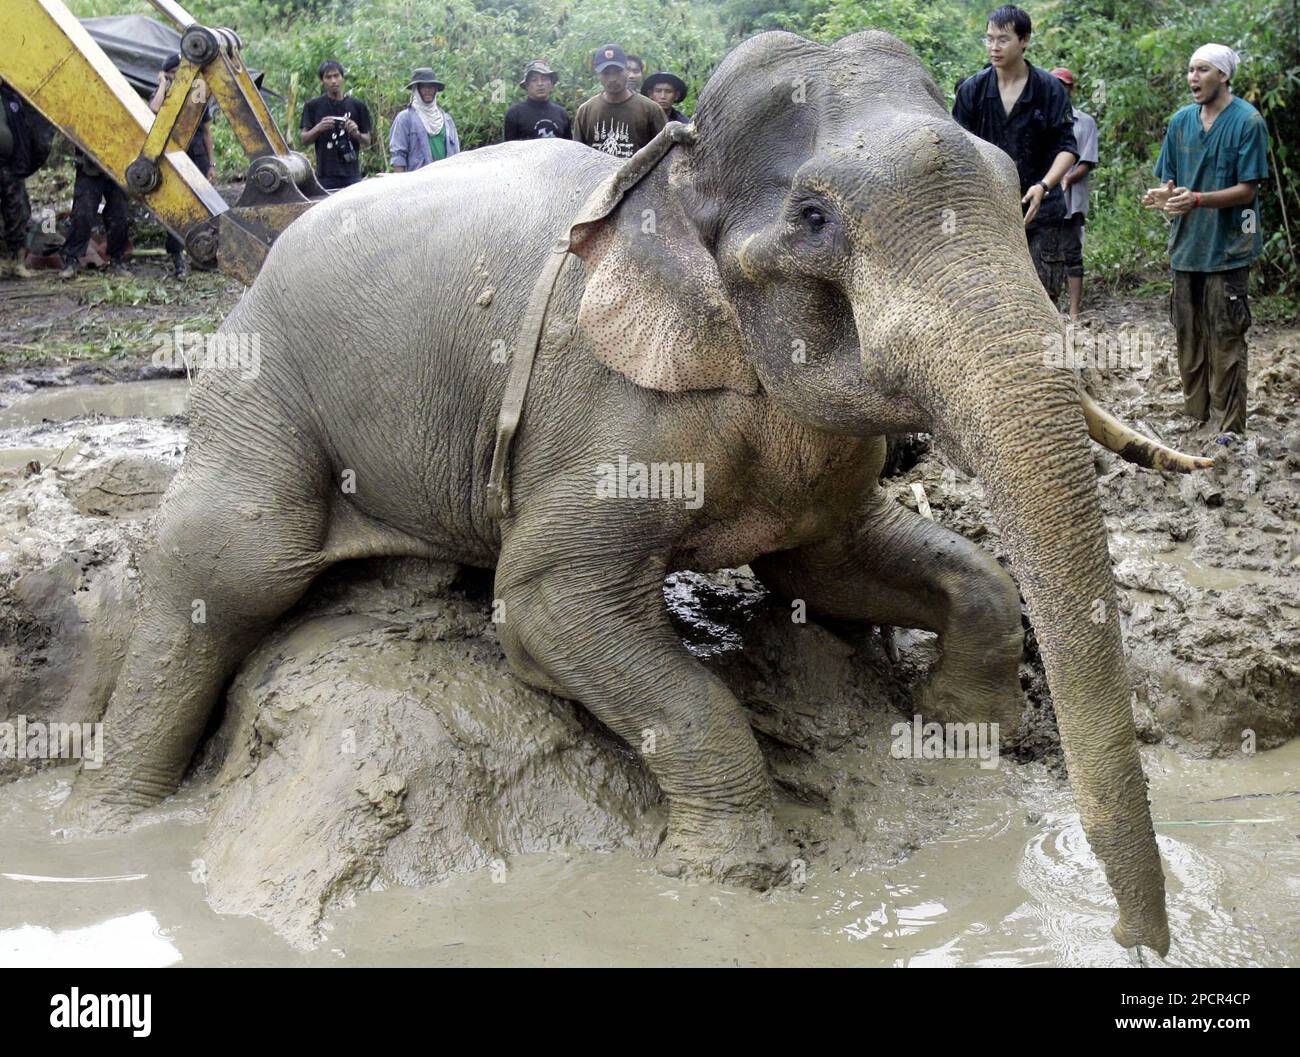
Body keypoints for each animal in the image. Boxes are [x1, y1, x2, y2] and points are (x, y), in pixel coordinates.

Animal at [59, 30, 1210, 956]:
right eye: (813, 216)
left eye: (1015, 183)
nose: (1135, 944)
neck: (673, 172)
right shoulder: (604, 409)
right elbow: (550, 603)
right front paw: (732, 875)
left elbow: (836, 564)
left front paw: (959, 731)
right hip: (258, 380)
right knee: (228, 567)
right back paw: (109, 826)